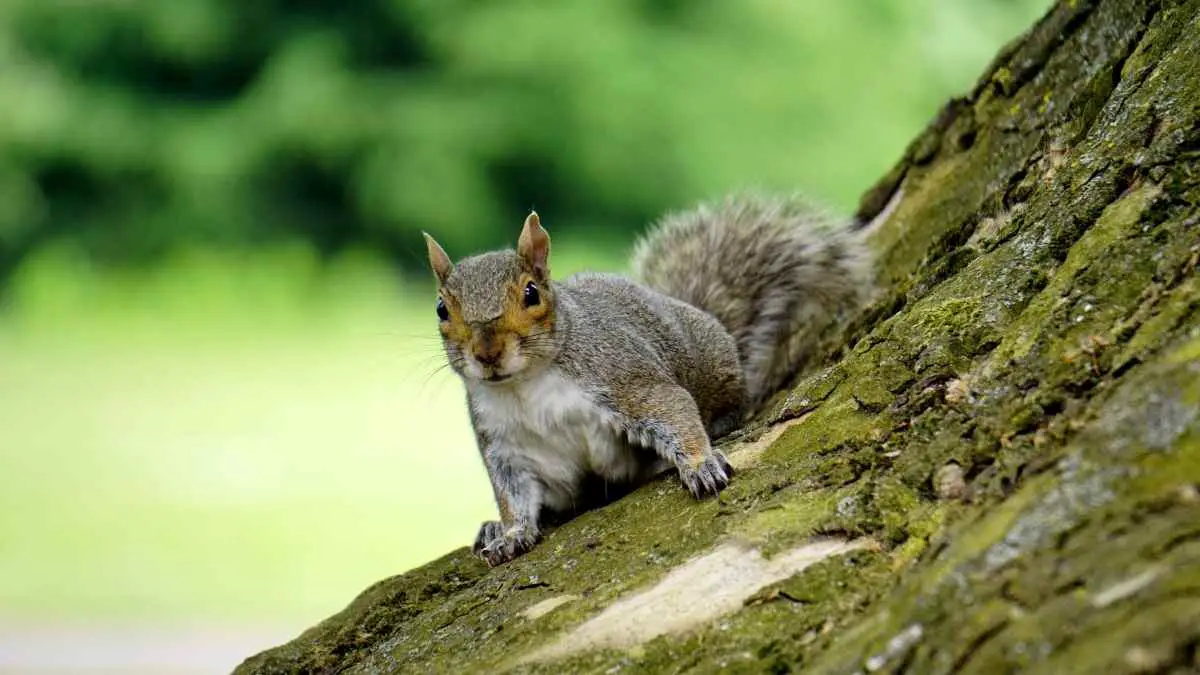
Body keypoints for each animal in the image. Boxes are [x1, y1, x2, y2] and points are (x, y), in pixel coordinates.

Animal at [422, 193, 876, 566]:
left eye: (532, 293)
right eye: (442, 309)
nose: (487, 353)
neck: (525, 386)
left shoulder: (622, 376)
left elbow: (671, 407)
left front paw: (700, 464)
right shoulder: (506, 444)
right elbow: (513, 494)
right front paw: (511, 532)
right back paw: (491, 528)